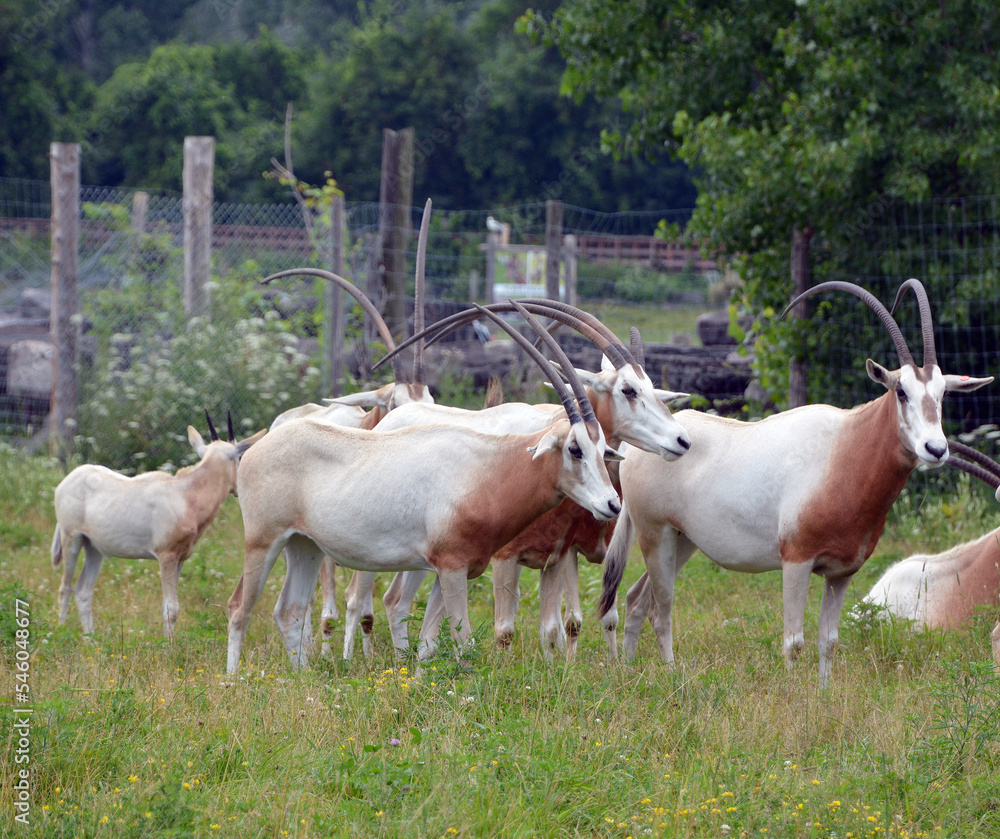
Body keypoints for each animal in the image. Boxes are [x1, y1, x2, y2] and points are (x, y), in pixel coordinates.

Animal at [51, 413, 265, 638]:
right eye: (239, 457)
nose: (240, 488)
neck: (185, 494)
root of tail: (66, 482)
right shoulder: (166, 556)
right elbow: (171, 607)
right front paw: (169, 645)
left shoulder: (180, 559)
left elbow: (168, 606)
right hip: (71, 538)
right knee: (65, 588)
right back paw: (61, 631)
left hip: (94, 548)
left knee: (83, 590)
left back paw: (90, 638)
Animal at [225, 305, 623, 673]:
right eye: (574, 448)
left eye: (603, 449)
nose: (612, 505)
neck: (488, 468)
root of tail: (256, 450)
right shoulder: (451, 568)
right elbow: (463, 643)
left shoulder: (453, 569)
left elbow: (428, 644)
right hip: (262, 542)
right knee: (239, 608)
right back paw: (233, 679)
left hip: (303, 546)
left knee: (289, 610)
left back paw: (303, 676)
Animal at [343, 302, 689, 658]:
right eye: (628, 389)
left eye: (653, 389)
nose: (682, 440)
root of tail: (388, 418)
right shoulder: (504, 558)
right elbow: (505, 630)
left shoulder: (555, 556)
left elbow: (552, 628)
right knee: (359, 597)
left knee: (396, 600)